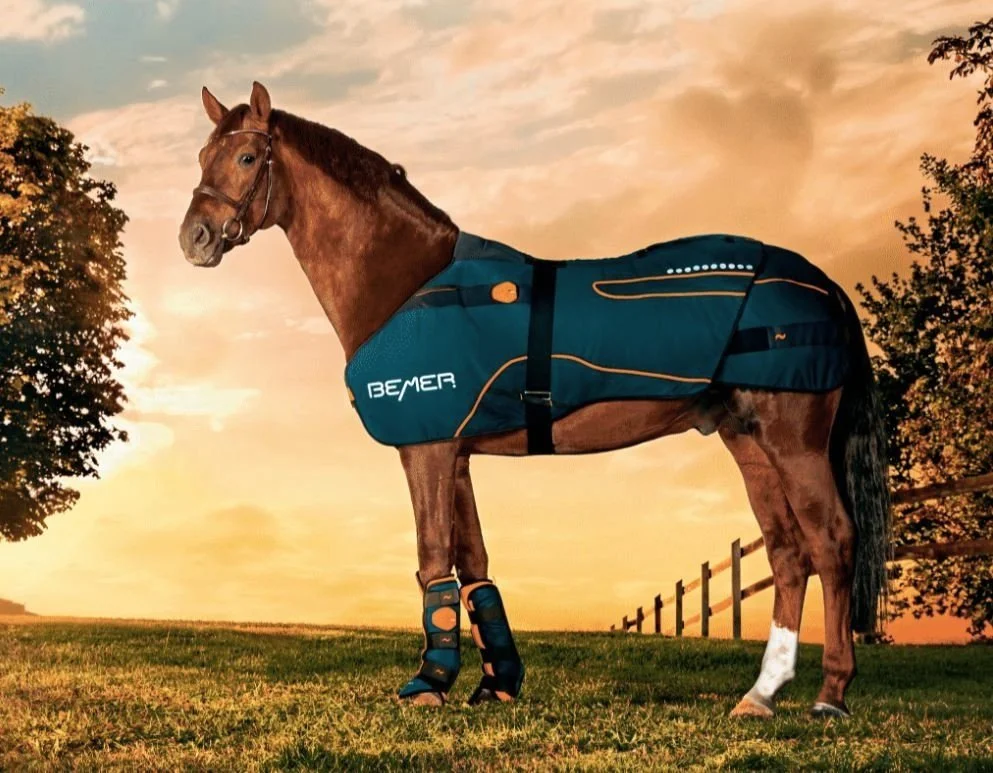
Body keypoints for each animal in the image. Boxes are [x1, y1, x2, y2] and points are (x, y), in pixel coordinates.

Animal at [179, 82, 889, 718]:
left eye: (248, 158)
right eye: (203, 156)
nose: (195, 239)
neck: (406, 281)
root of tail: (823, 282)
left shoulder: (426, 447)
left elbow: (433, 561)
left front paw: (430, 682)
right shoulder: (457, 454)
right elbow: (474, 568)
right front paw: (497, 682)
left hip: (793, 440)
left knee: (831, 541)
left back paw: (830, 695)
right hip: (748, 439)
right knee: (788, 552)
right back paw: (761, 695)